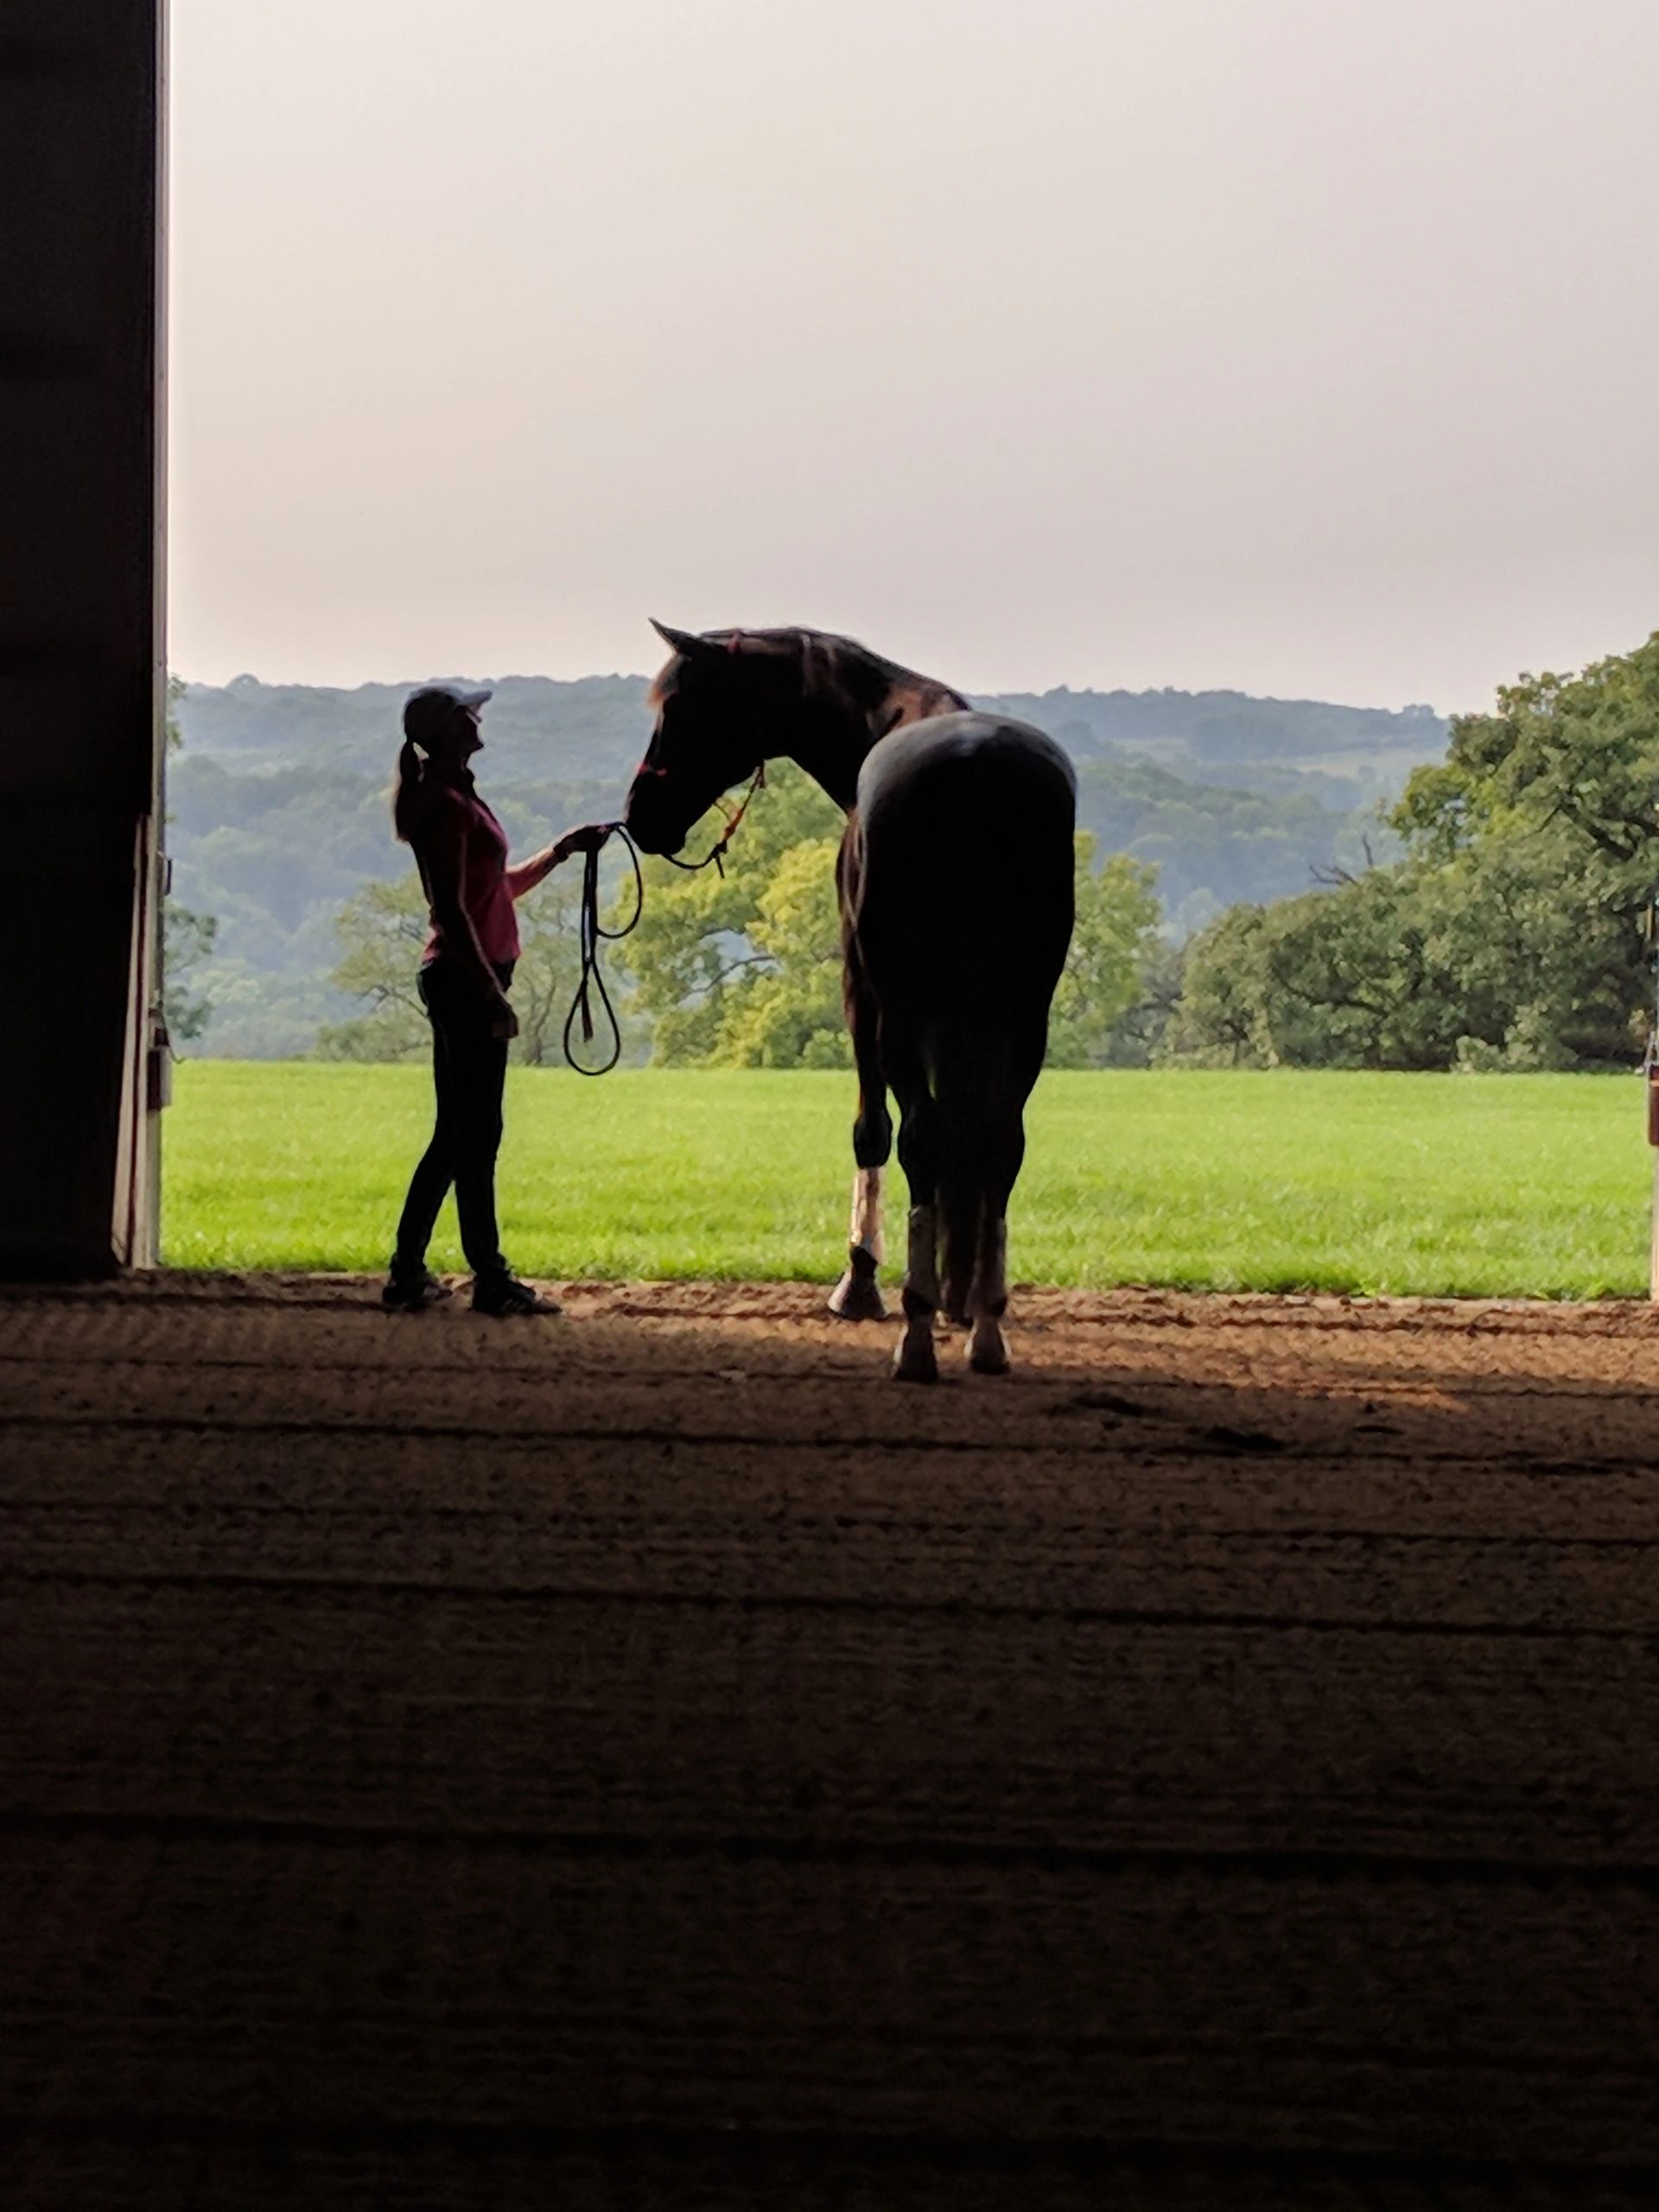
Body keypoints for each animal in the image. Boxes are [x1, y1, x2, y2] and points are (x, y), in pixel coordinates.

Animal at [624, 622, 1076, 1382]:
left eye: (681, 704)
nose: (640, 816)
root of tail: (976, 774)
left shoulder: (863, 997)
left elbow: (874, 1130)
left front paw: (862, 1283)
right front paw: (958, 1294)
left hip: (904, 1009)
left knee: (922, 1139)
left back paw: (917, 1333)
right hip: (1022, 1016)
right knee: (998, 1145)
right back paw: (984, 1325)